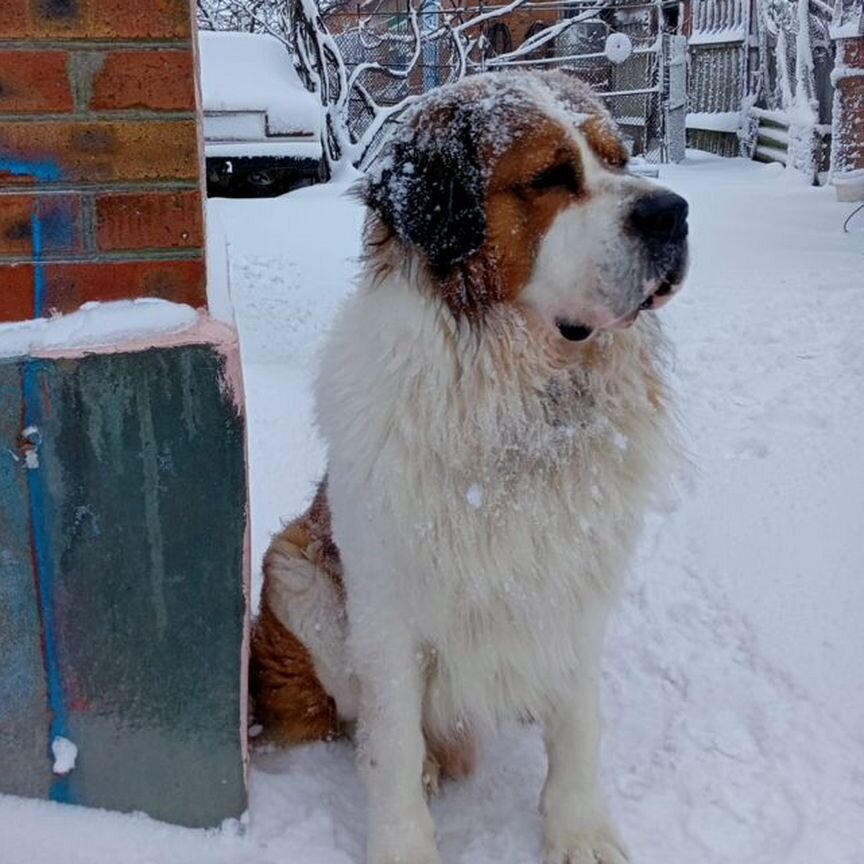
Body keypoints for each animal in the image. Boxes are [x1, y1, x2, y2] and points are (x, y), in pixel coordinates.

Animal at [250, 69, 688, 864]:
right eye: (549, 178)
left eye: (619, 158)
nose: (673, 211)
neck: (519, 402)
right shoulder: (387, 607)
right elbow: (391, 743)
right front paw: (404, 843)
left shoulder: (577, 584)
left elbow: (579, 721)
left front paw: (579, 828)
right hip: (296, 571)